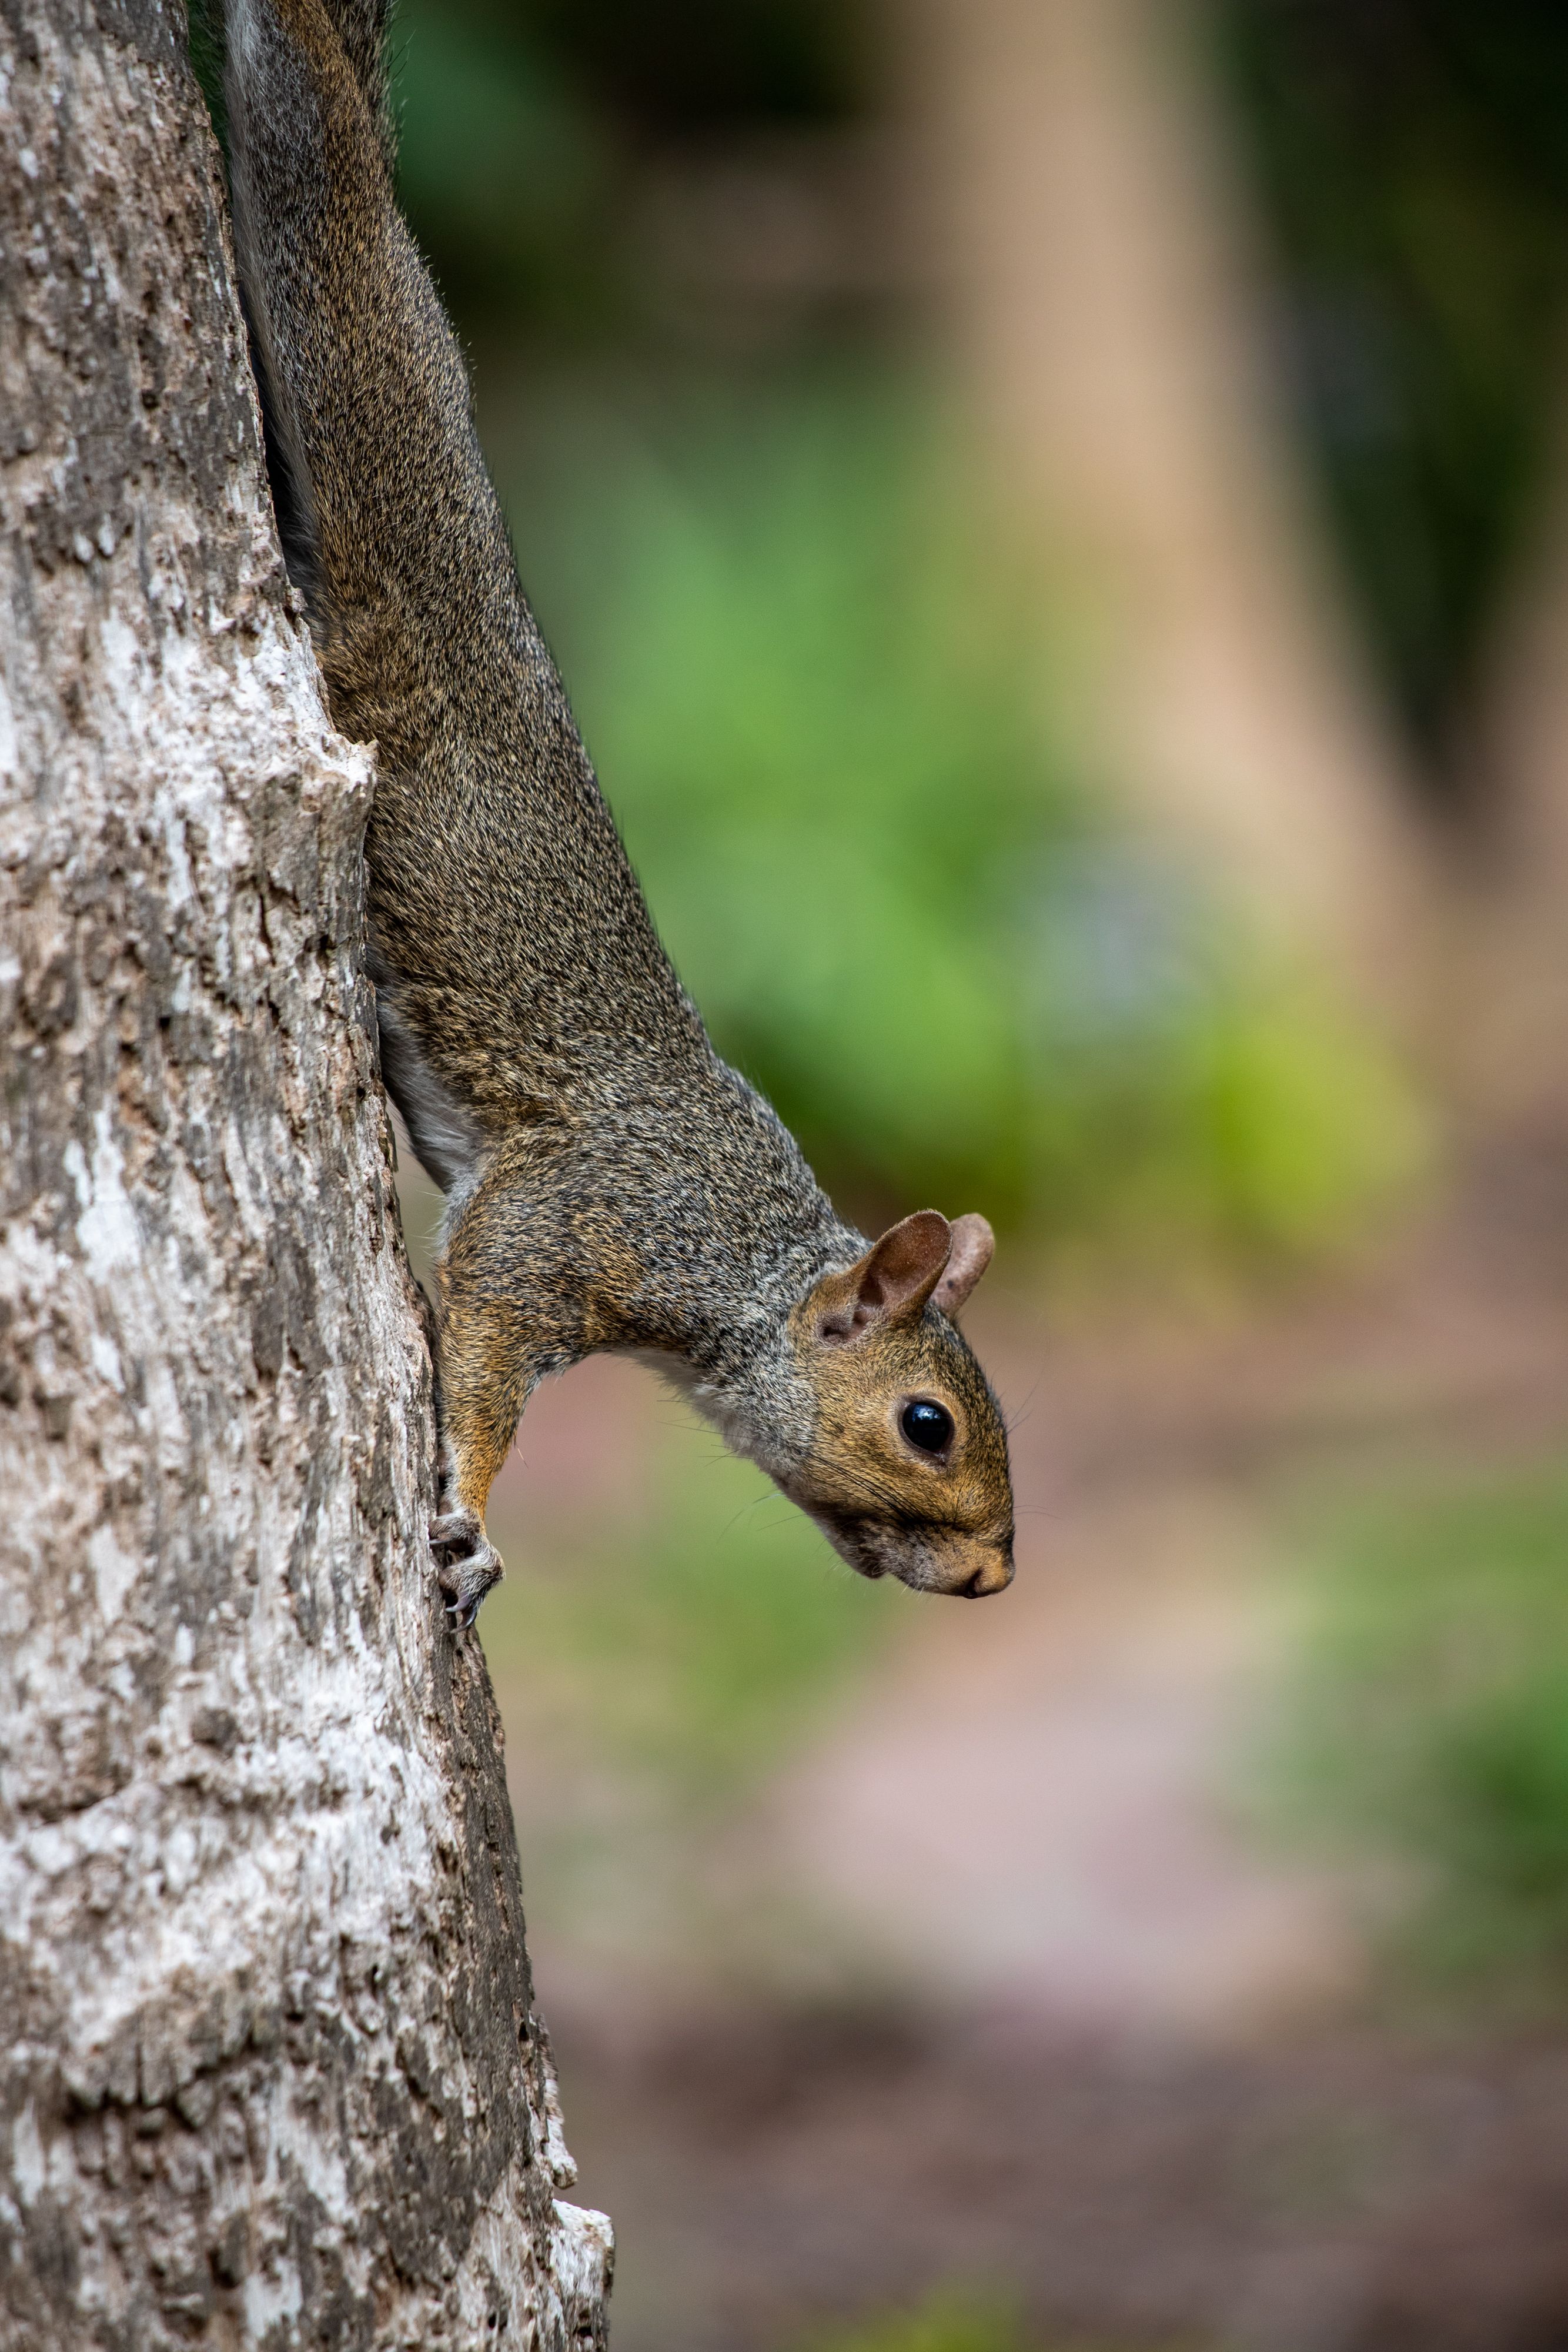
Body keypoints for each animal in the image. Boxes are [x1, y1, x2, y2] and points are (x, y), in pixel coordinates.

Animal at [220, 0, 1016, 1627]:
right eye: (927, 1423)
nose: (992, 1576)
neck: (738, 1254)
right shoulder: (567, 1225)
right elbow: (480, 1354)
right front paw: (467, 1518)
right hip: (341, 308)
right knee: (305, 143)